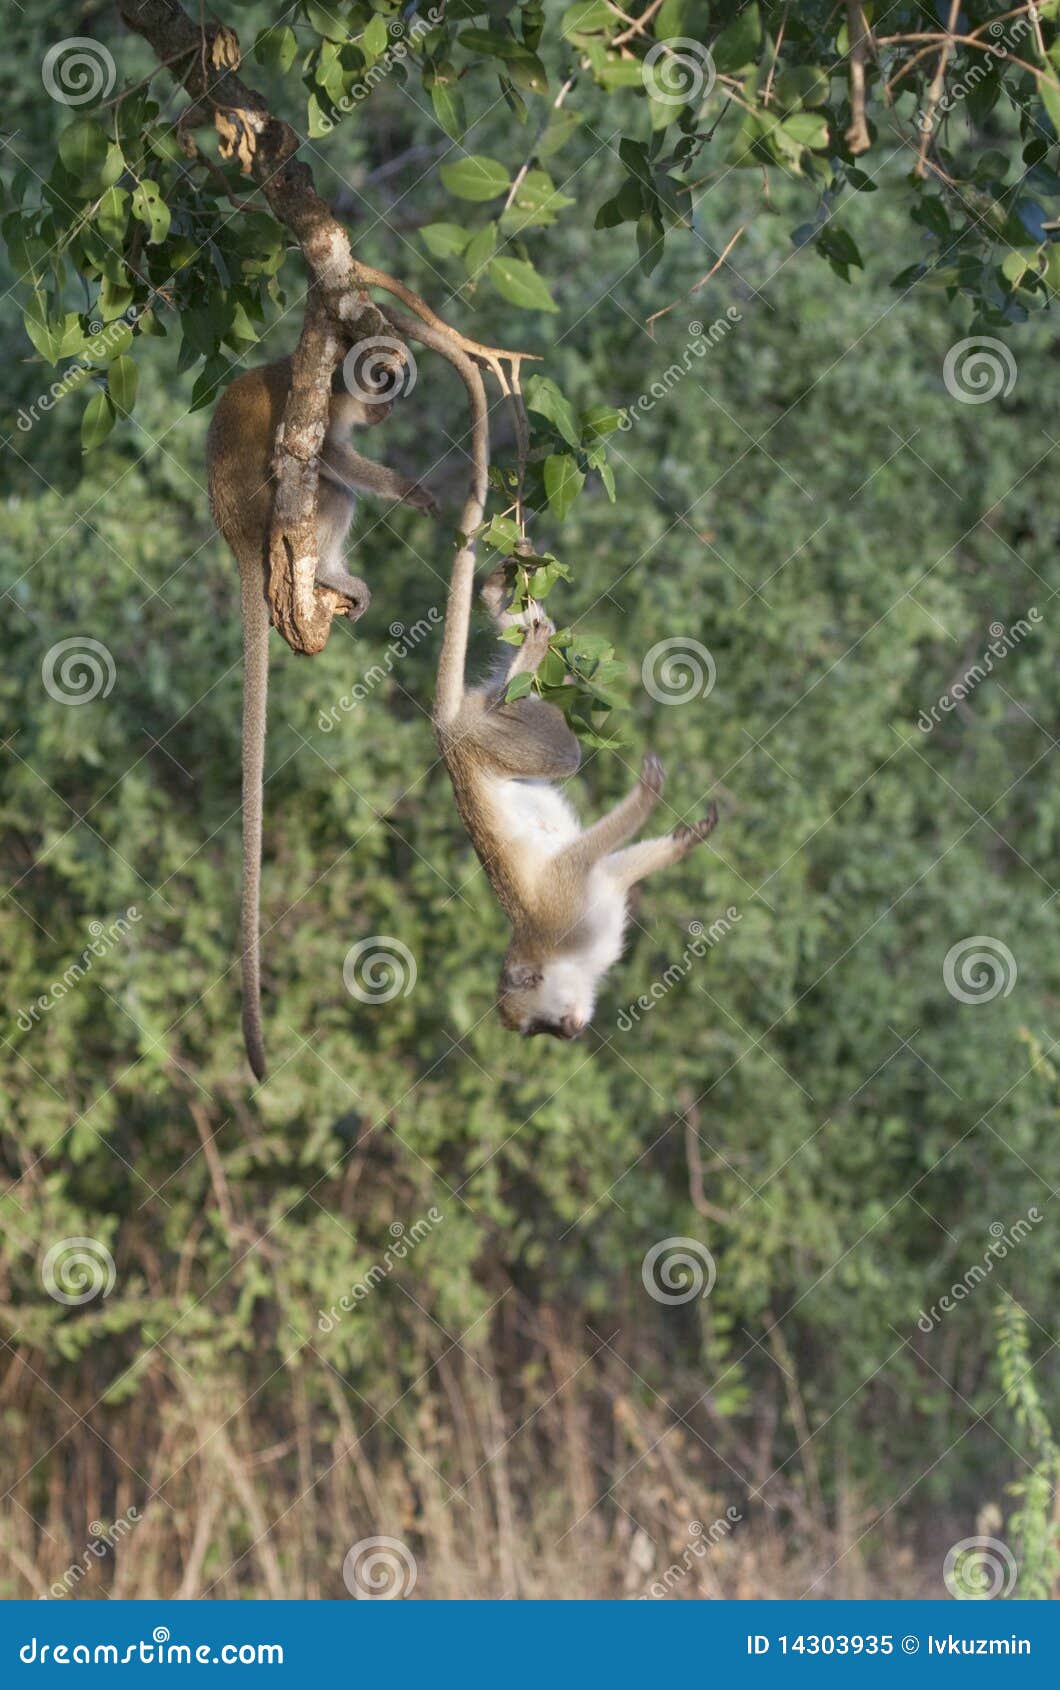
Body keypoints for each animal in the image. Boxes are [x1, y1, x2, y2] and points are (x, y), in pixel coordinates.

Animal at [207, 354, 438, 1081]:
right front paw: (411, 491)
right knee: (327, 489)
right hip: (271, 513)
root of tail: (235, 534)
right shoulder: (327, 403)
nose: (387, 413)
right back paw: (333, 574)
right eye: (383, 388)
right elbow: (330, 454)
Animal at [433, 558, 719, 1040]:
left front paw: (650, 800)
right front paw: (681, 836)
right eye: (540, 1029)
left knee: (551, 738)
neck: (566, 959)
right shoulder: (584, 905)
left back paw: (516, 650)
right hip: (491, 738)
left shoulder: (565, 912)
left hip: (488, 736)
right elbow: (611, 868)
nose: (568, 1032)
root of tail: (449, 733)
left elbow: (579, 861)